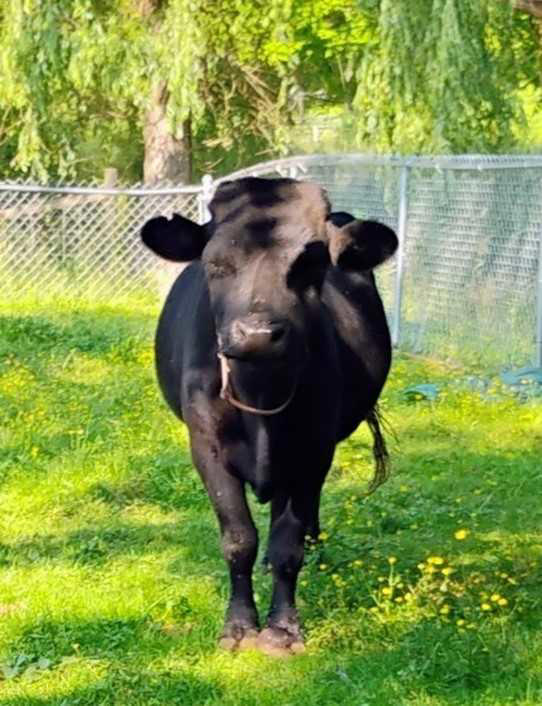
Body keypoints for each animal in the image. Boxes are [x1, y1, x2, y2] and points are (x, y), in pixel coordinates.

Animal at [141, 177, 398, 656]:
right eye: (215, 263)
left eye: (311, 263)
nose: (256, 335)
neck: (259, 394)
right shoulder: (207, 449)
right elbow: (238, 539)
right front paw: (239, 625)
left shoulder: (311, 453)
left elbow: (286, 545)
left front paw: (282, 628)